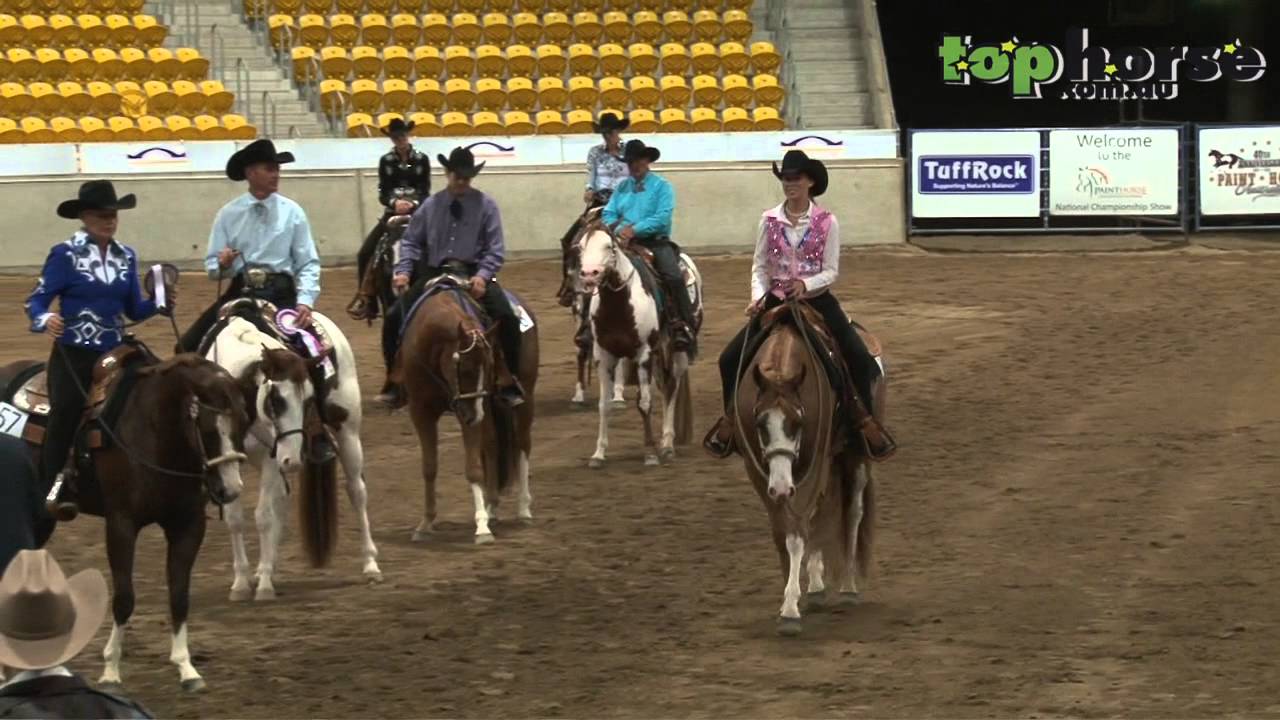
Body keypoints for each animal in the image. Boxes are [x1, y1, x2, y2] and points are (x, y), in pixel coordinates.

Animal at [0, 352, 249, 690]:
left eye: (243, 422)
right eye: (207, 429)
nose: (230, 490)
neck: (154, 432)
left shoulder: (188, 525)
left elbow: (179, 595)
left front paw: (187, 669)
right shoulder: (121, 524)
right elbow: (124, 598)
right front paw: (110, 671)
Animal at [202, 310, 382, 602]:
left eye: (309, 401)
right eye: (276, 399)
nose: (294, 459)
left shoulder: (271, 459)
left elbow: (263, 517)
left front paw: (264, 585)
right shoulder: (229, 460)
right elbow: (235, 519)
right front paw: (241, 582)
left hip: (348, 435)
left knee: (357, 492)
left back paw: (370, 565)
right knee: (281, 503)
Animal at [393, 278, 539, 544]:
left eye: (491, 365)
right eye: (466, 369)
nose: (474, 417)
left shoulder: (467, 409)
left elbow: (473, 469)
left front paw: (481, 528)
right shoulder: (421, 411)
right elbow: (429, 467)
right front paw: (425, 523)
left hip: (522, 397)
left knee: (522, 445)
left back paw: (523, 509)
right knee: (491, 445)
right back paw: (492, 508)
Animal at [575, 219, 702, 468]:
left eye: (608, 246)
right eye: (581, 247)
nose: (589, 274)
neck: (619, 302)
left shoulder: (644, 353)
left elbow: (644, 403)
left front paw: (650, 453)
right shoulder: (603, 355)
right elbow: (604, 405)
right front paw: (598, 454)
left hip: (677, 353)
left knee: (671, 389)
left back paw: (667, 444)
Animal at [730, 302, 881, 636]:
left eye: (797, 421)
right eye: (759, 422)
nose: (782, 487)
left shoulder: (815, 464)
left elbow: (799, 532)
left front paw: (790, 609)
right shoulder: (758, 471)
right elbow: (783, 532)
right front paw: (793, 591)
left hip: (854, 457)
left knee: (851, 513)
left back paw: (847, 586)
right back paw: (815, 586)